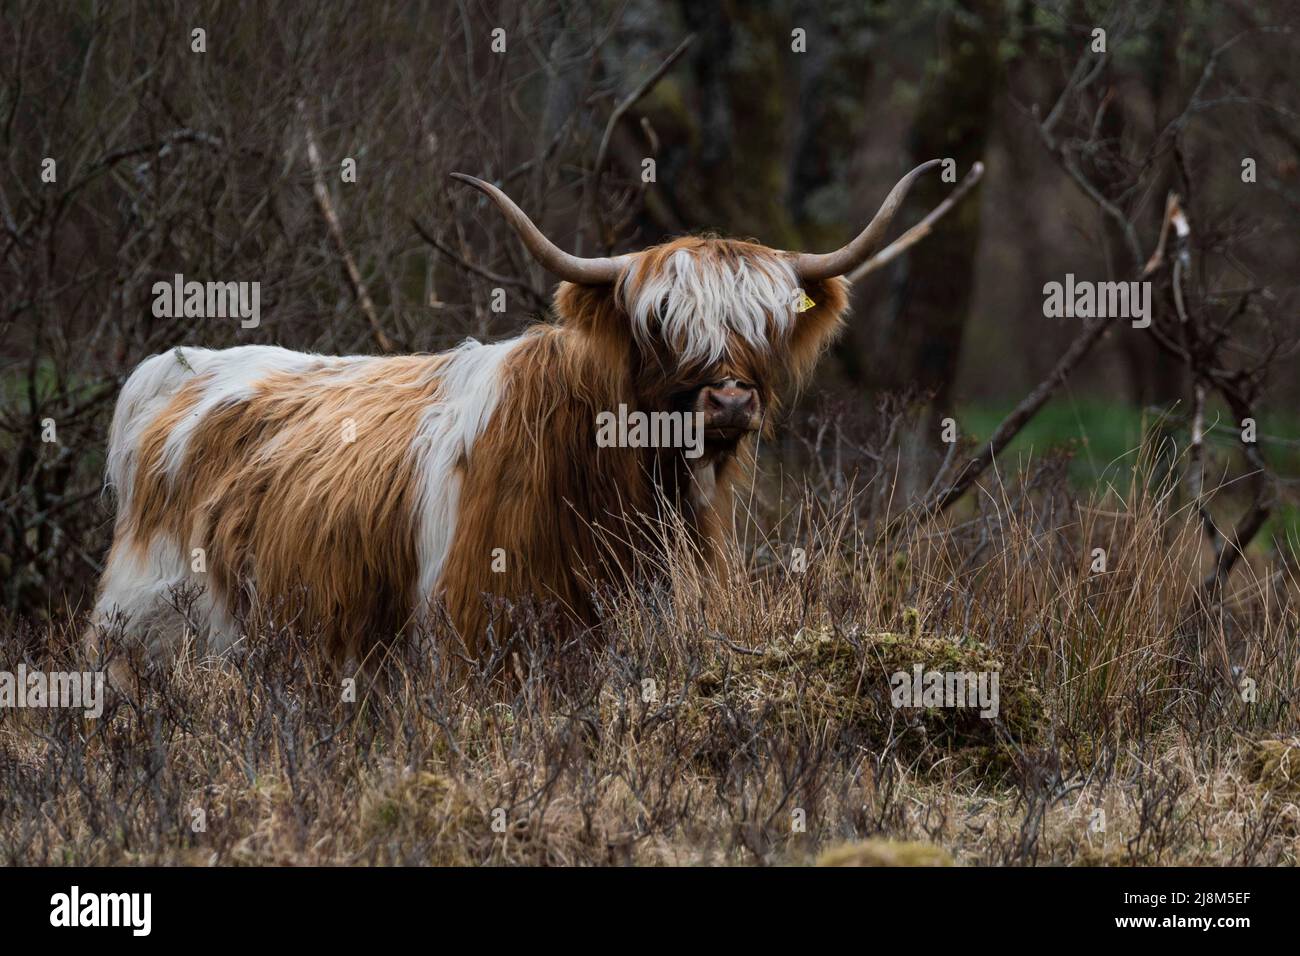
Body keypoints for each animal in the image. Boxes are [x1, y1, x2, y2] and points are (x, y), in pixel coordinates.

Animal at [85, 160, 978, 669]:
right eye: (660, 325)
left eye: (765, 324)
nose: (728, 399)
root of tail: (175, 368)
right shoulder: (478, 628)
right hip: (154, 636)